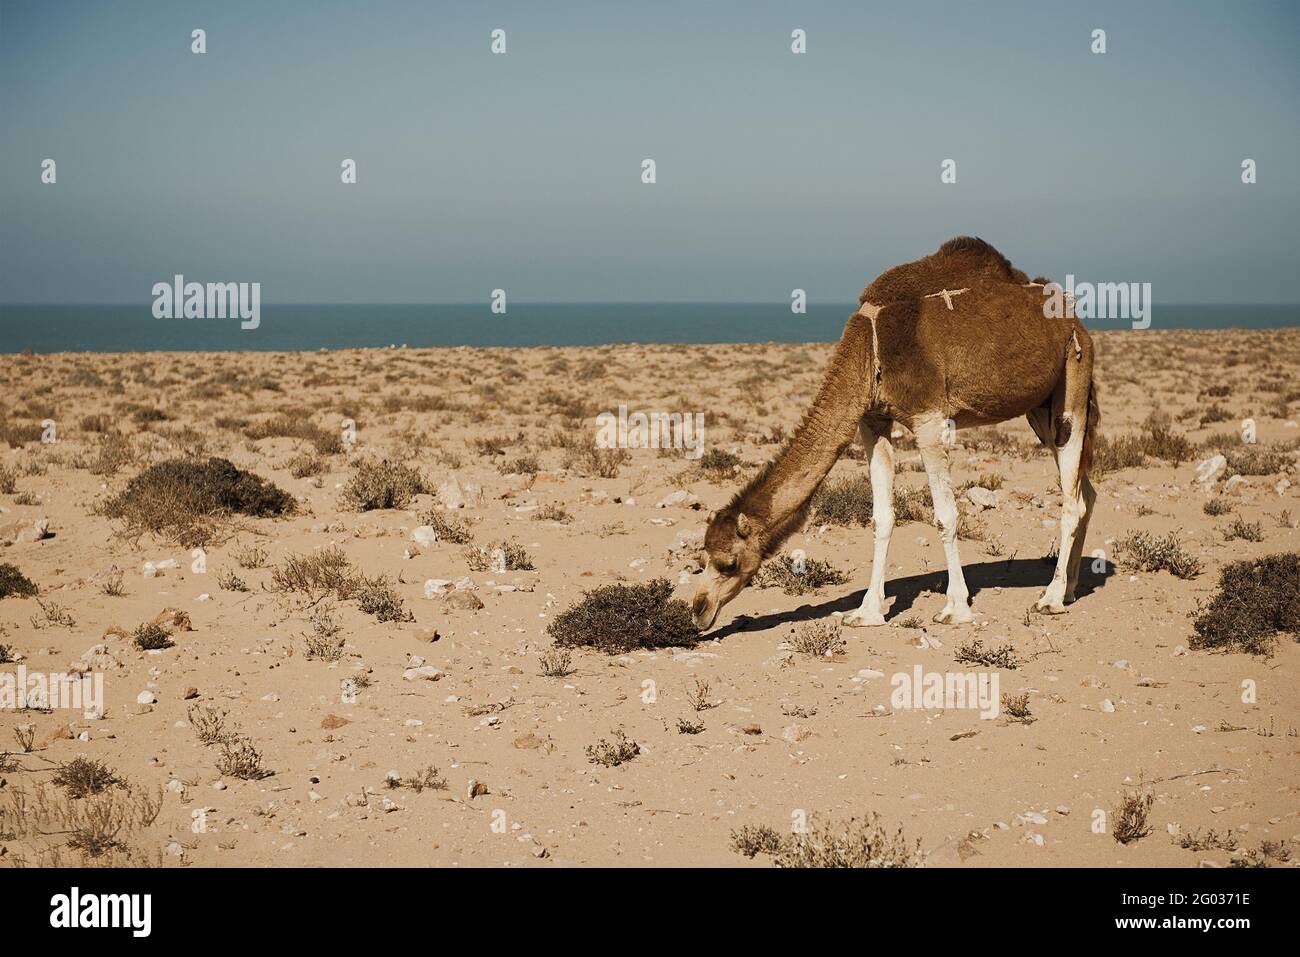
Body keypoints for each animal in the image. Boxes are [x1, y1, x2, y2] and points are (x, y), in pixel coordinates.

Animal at [690, 237, 1100, 631]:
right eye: (702, 558)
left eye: (728, 563)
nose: (698, 609)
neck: (870, 346)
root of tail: (1077, 322)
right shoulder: (873, 420)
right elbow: (882, 517)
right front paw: (867, 612)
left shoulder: (929, 417)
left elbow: (945, 515)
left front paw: (955, 609)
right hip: (1041, 409)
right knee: (1085, 489)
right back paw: (1072, 588)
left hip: (1073, 380)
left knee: (1071, 497)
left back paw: (1051, 598)